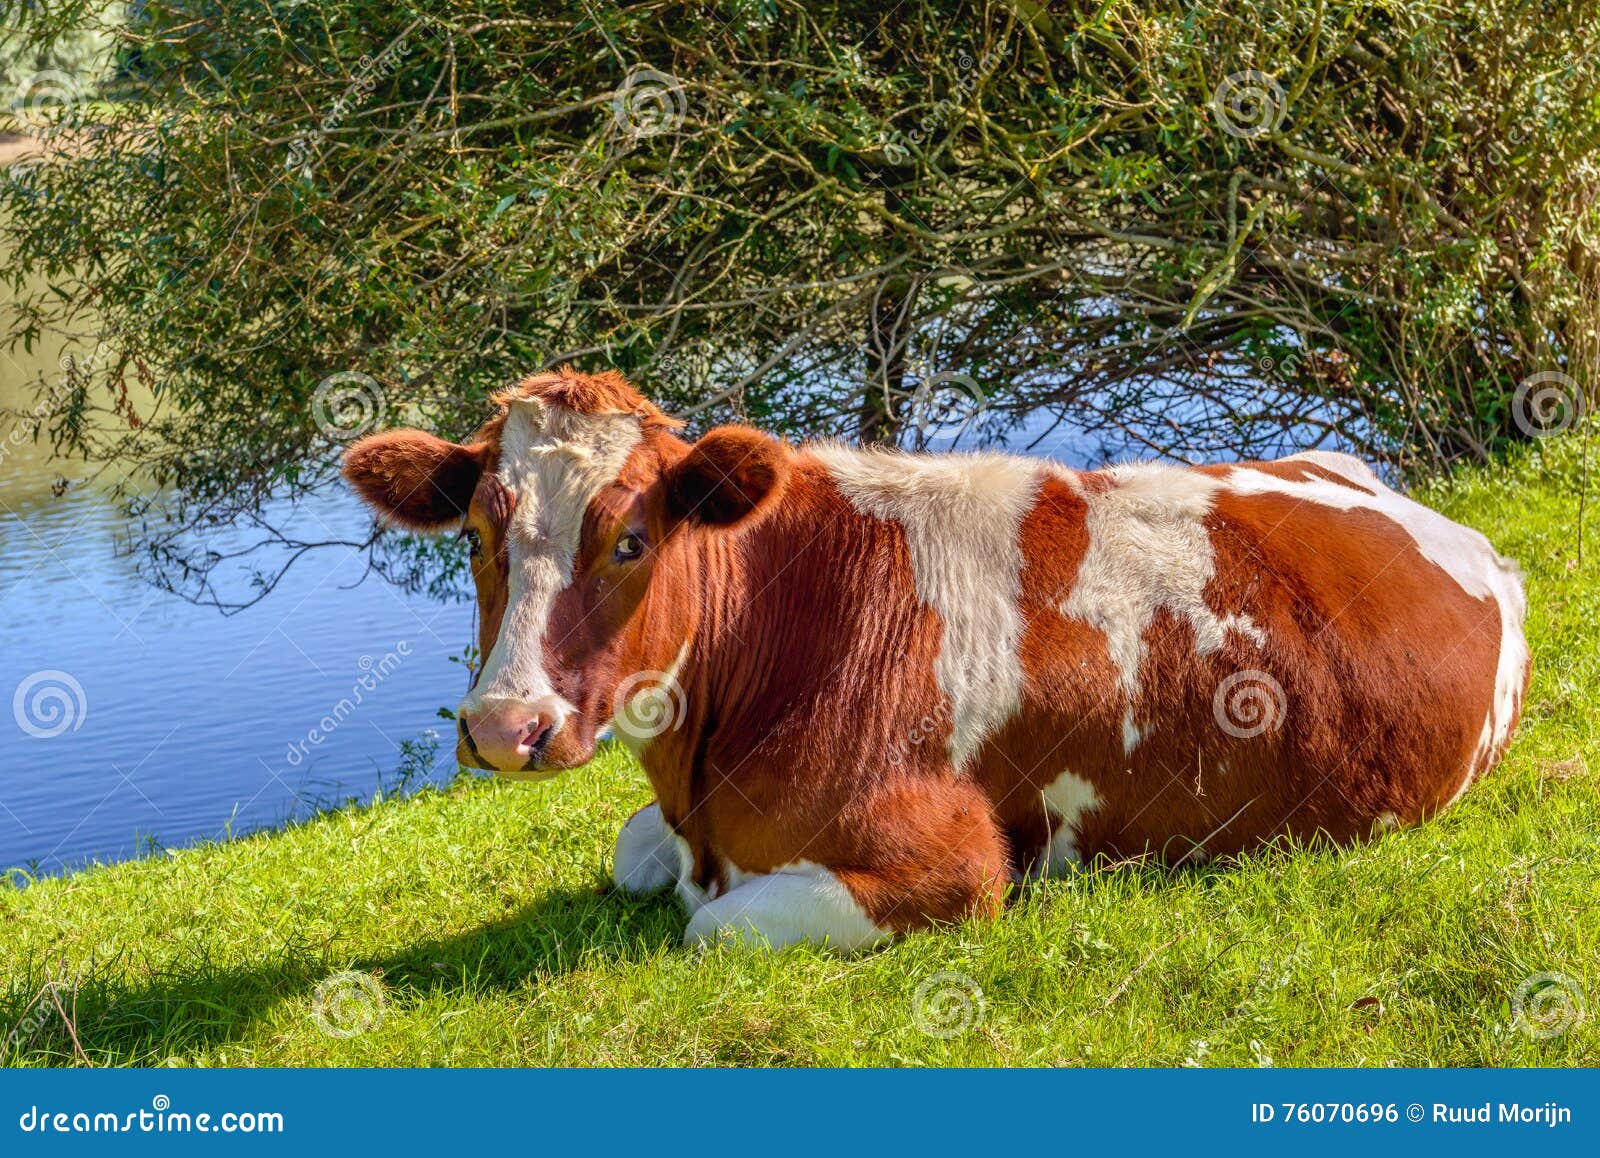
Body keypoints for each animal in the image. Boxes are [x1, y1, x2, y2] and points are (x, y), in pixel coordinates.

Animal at [342, 367, 1530, 951]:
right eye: (478, 535)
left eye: (630, 539)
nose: (507, 727)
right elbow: (635, 853)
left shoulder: (953, 867)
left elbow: (710, 925)